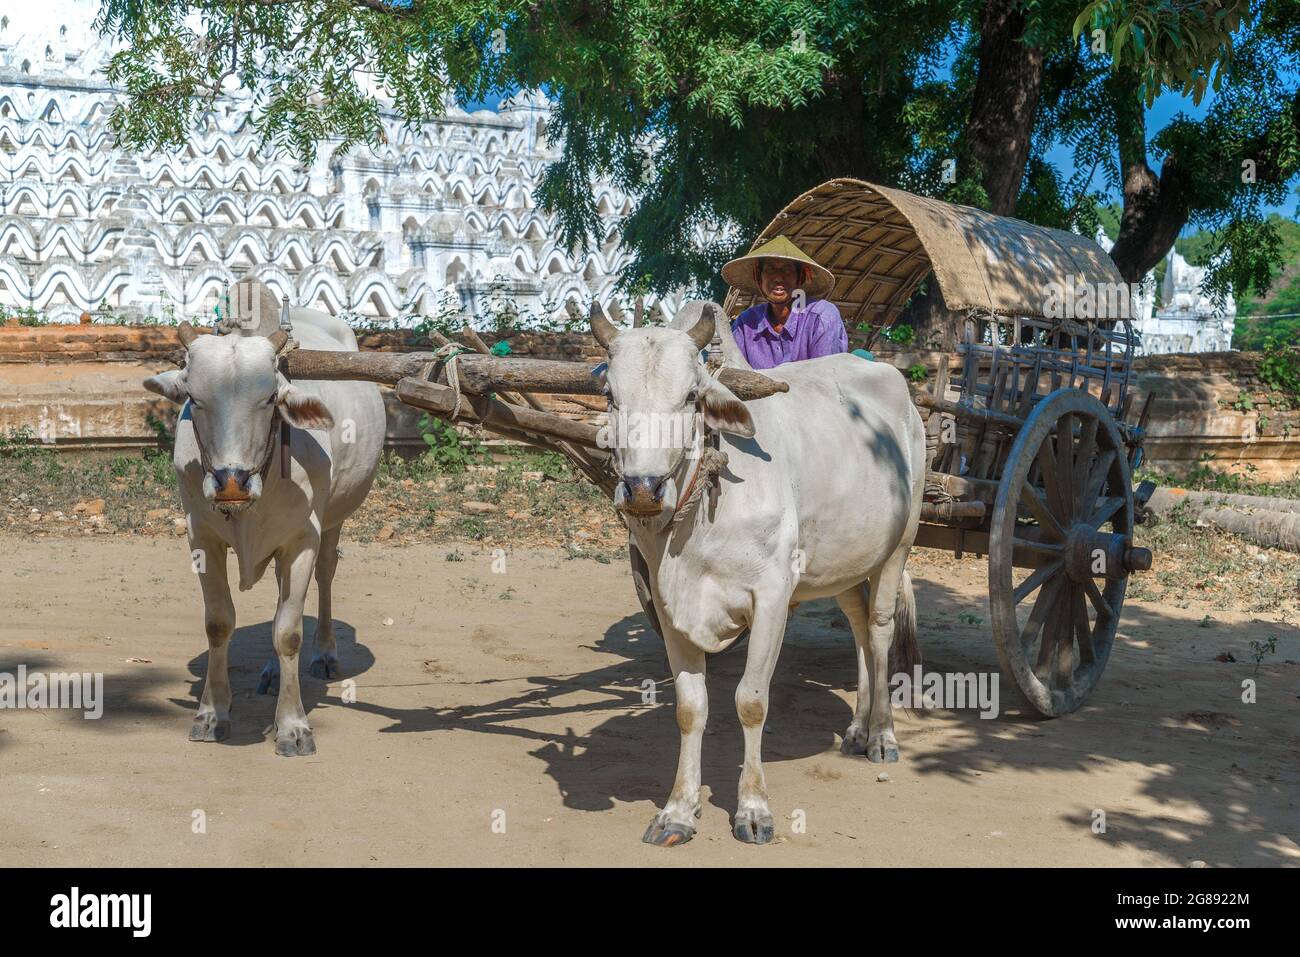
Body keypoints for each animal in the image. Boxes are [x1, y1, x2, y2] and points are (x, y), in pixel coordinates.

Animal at [144, 282, 384, 756]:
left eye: (271, 398)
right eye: (194, 398)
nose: (231, 482)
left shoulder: (302, 539)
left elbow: (287, 631)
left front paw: (293, 726)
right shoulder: (201, 537)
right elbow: (219, 623)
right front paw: (211, 714)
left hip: (332, 521)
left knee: (325, 576)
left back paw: (324, 654)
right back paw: (272, 674)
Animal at [591, 300, 926, 845]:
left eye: (691, 396)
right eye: (610, 396)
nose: (642, 490)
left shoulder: (770, 599)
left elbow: (750, 701)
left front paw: (752, 809)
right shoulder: (671, 609)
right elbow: (690, 708)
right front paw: (678, 811)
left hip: (900, 543)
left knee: (878, 631)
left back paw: (881, 734)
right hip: (841, 562)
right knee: (857, 627)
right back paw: (856, 729)